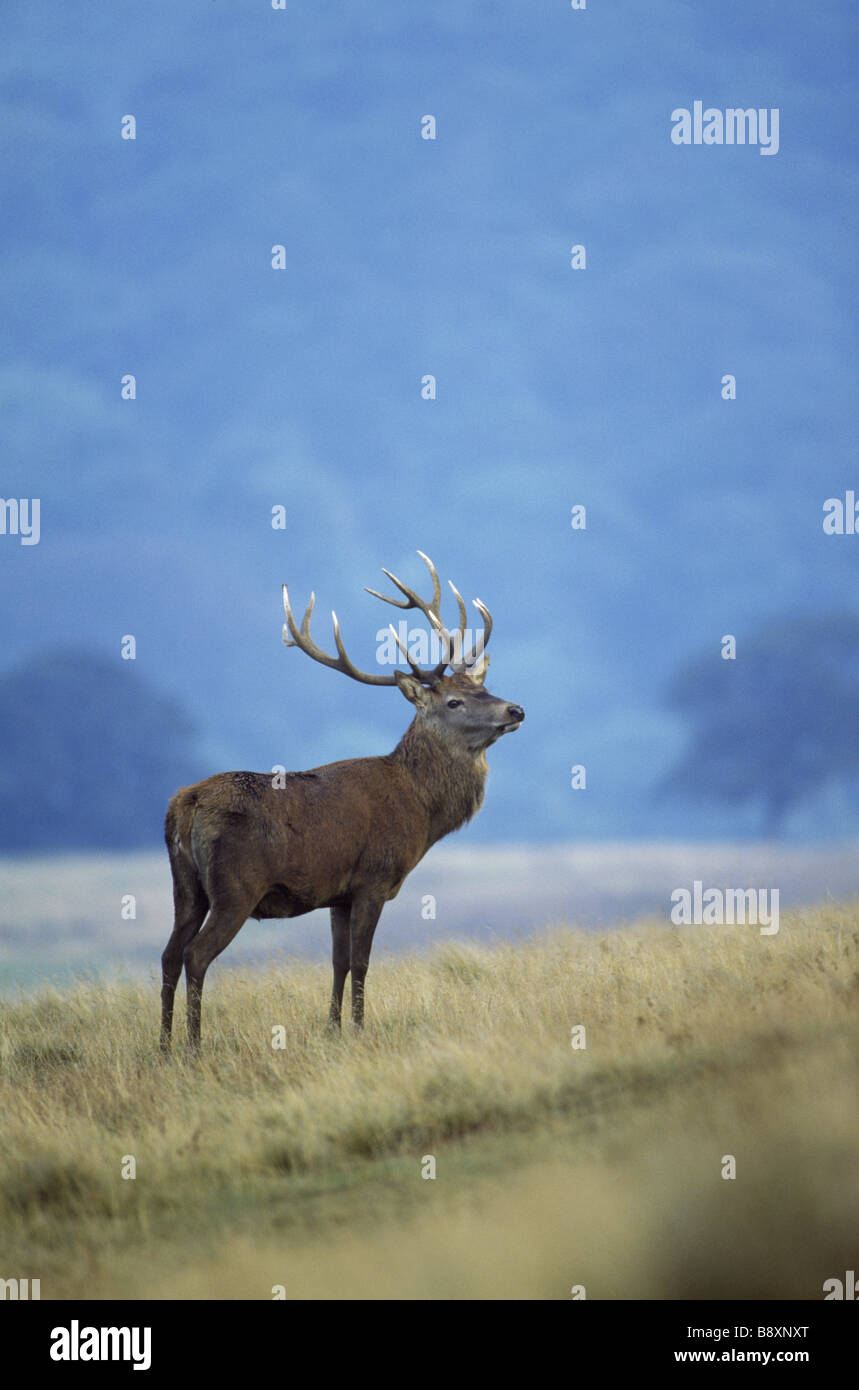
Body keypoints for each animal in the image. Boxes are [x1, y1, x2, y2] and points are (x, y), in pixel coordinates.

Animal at [160, 552, 524, 1051]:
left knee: (169, 955)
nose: (516, 709)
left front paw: (332, 1029)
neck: (420, 810)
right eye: (454, 701)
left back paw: (162, 1047)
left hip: (186, 885)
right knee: (197, 954)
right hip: (235, 886)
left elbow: (338, 961)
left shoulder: (337, 893)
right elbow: (362, 961)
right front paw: (359, 1028)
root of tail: (184, 805)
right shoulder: (374, 878)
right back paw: (194, 1047)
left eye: (483, 687)